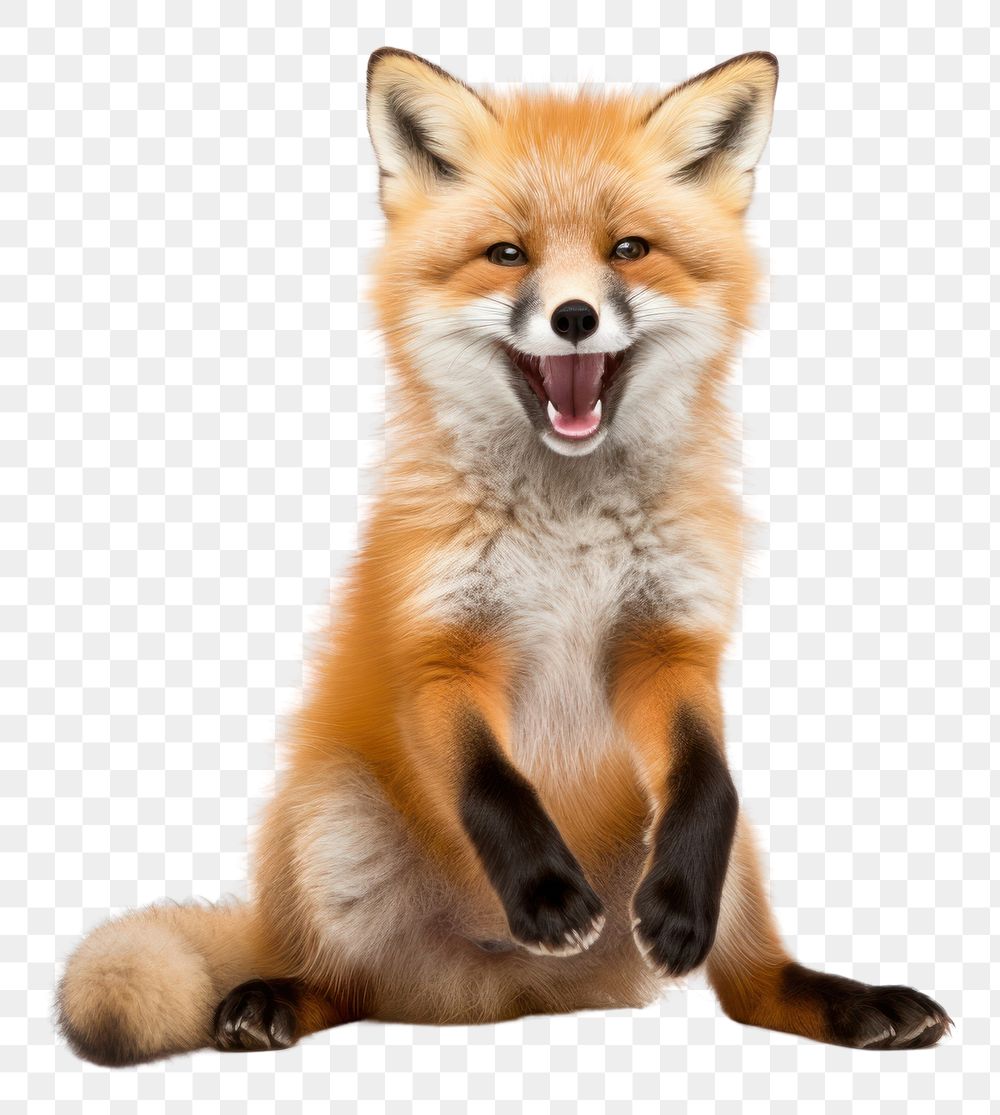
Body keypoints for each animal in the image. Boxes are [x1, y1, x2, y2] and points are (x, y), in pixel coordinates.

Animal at [57, 48, 952, 1065]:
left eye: (628, 250)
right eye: (508, 254)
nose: (573, 316)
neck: (566, 534)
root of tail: (512, 993)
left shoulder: (667, 647)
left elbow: (707, 778)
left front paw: (677, 904)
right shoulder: (443, 648)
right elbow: (493, 783)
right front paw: (549, 894)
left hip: (740, 864)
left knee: (753, 982)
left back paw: (850, 1000)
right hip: (330, 820)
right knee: (342, 983)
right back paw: (273, 998)